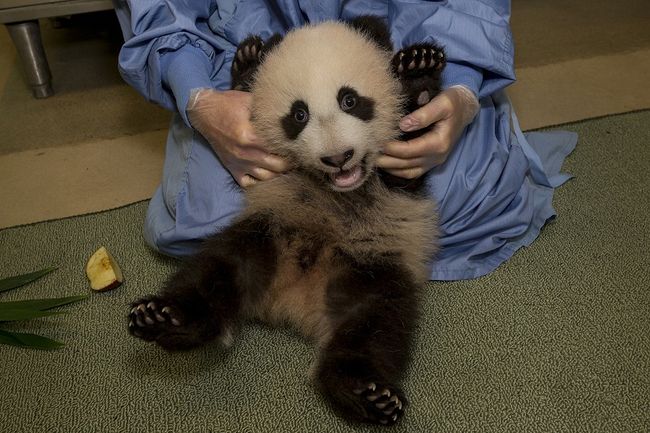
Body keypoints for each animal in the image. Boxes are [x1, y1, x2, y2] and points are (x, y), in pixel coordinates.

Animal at [128, 16, 445, 426]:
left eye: (350, 100)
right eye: (299, 115)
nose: (338, 157)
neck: (337, 187)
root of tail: (294, 302)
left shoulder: (398, 186)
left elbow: (409, 155)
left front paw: (418, 68)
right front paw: (248, 59)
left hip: (372, 266)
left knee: (378, 323)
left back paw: (364, 390)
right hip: (265, 231)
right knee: (216, 268)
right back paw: (167, 319)